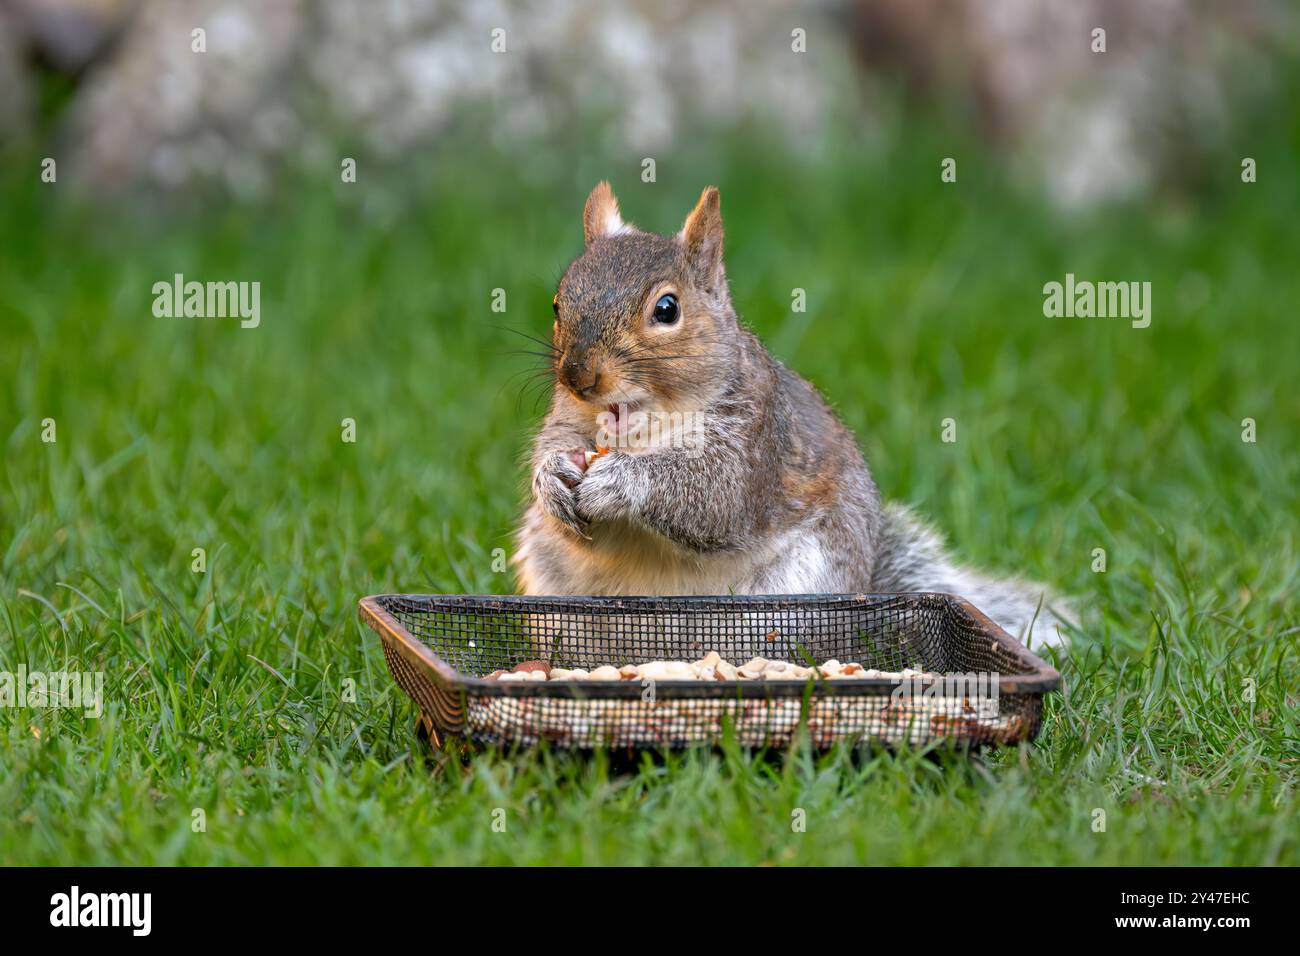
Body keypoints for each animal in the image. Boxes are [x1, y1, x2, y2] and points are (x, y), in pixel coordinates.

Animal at [513, 182, 1072, 649]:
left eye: (667, 310)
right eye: (558, 302)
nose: (579, 376)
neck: (648, 422)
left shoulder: (756, 436)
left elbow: (716, 498)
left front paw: (620, 481)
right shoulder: (569, 420)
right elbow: (558, 469)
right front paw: (552, 478)